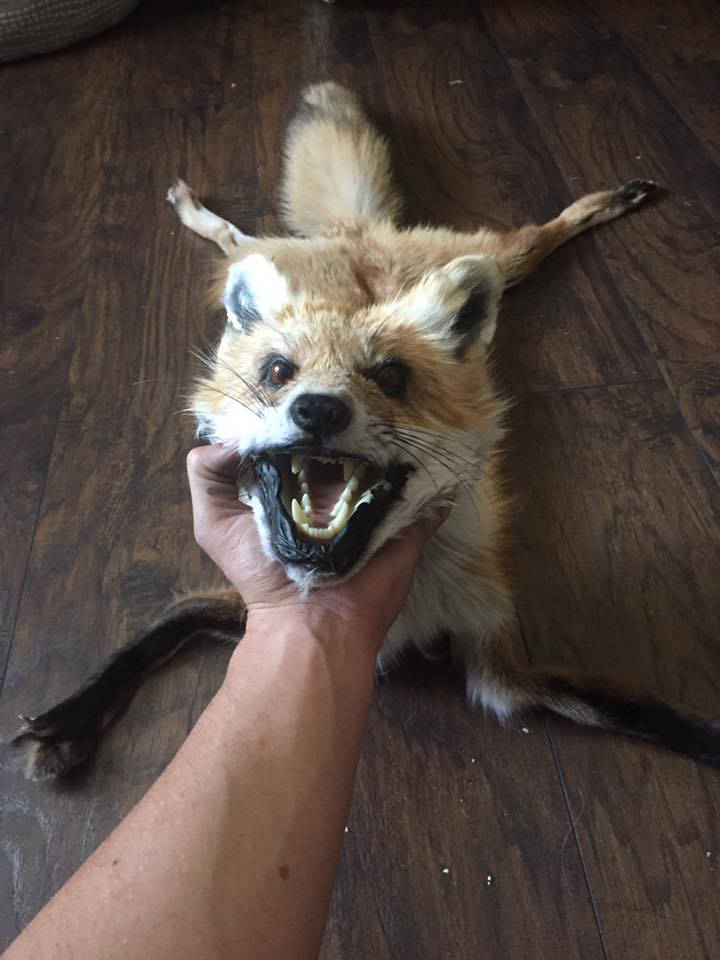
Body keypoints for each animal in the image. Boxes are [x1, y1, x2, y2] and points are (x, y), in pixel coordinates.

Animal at [17, 81, 719, 779]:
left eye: (392, 376)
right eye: (278, 372)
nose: (318, 410)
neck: (405, 606)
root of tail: (356, 236)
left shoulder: (498, 662)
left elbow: (621, 706)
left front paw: (700, 734)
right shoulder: (256, 603)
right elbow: (168, 621)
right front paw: (75, 715)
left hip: (498, 259)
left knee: (539, 232)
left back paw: (612, 198)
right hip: (285, 254)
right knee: (235, 236)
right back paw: (194, 208)